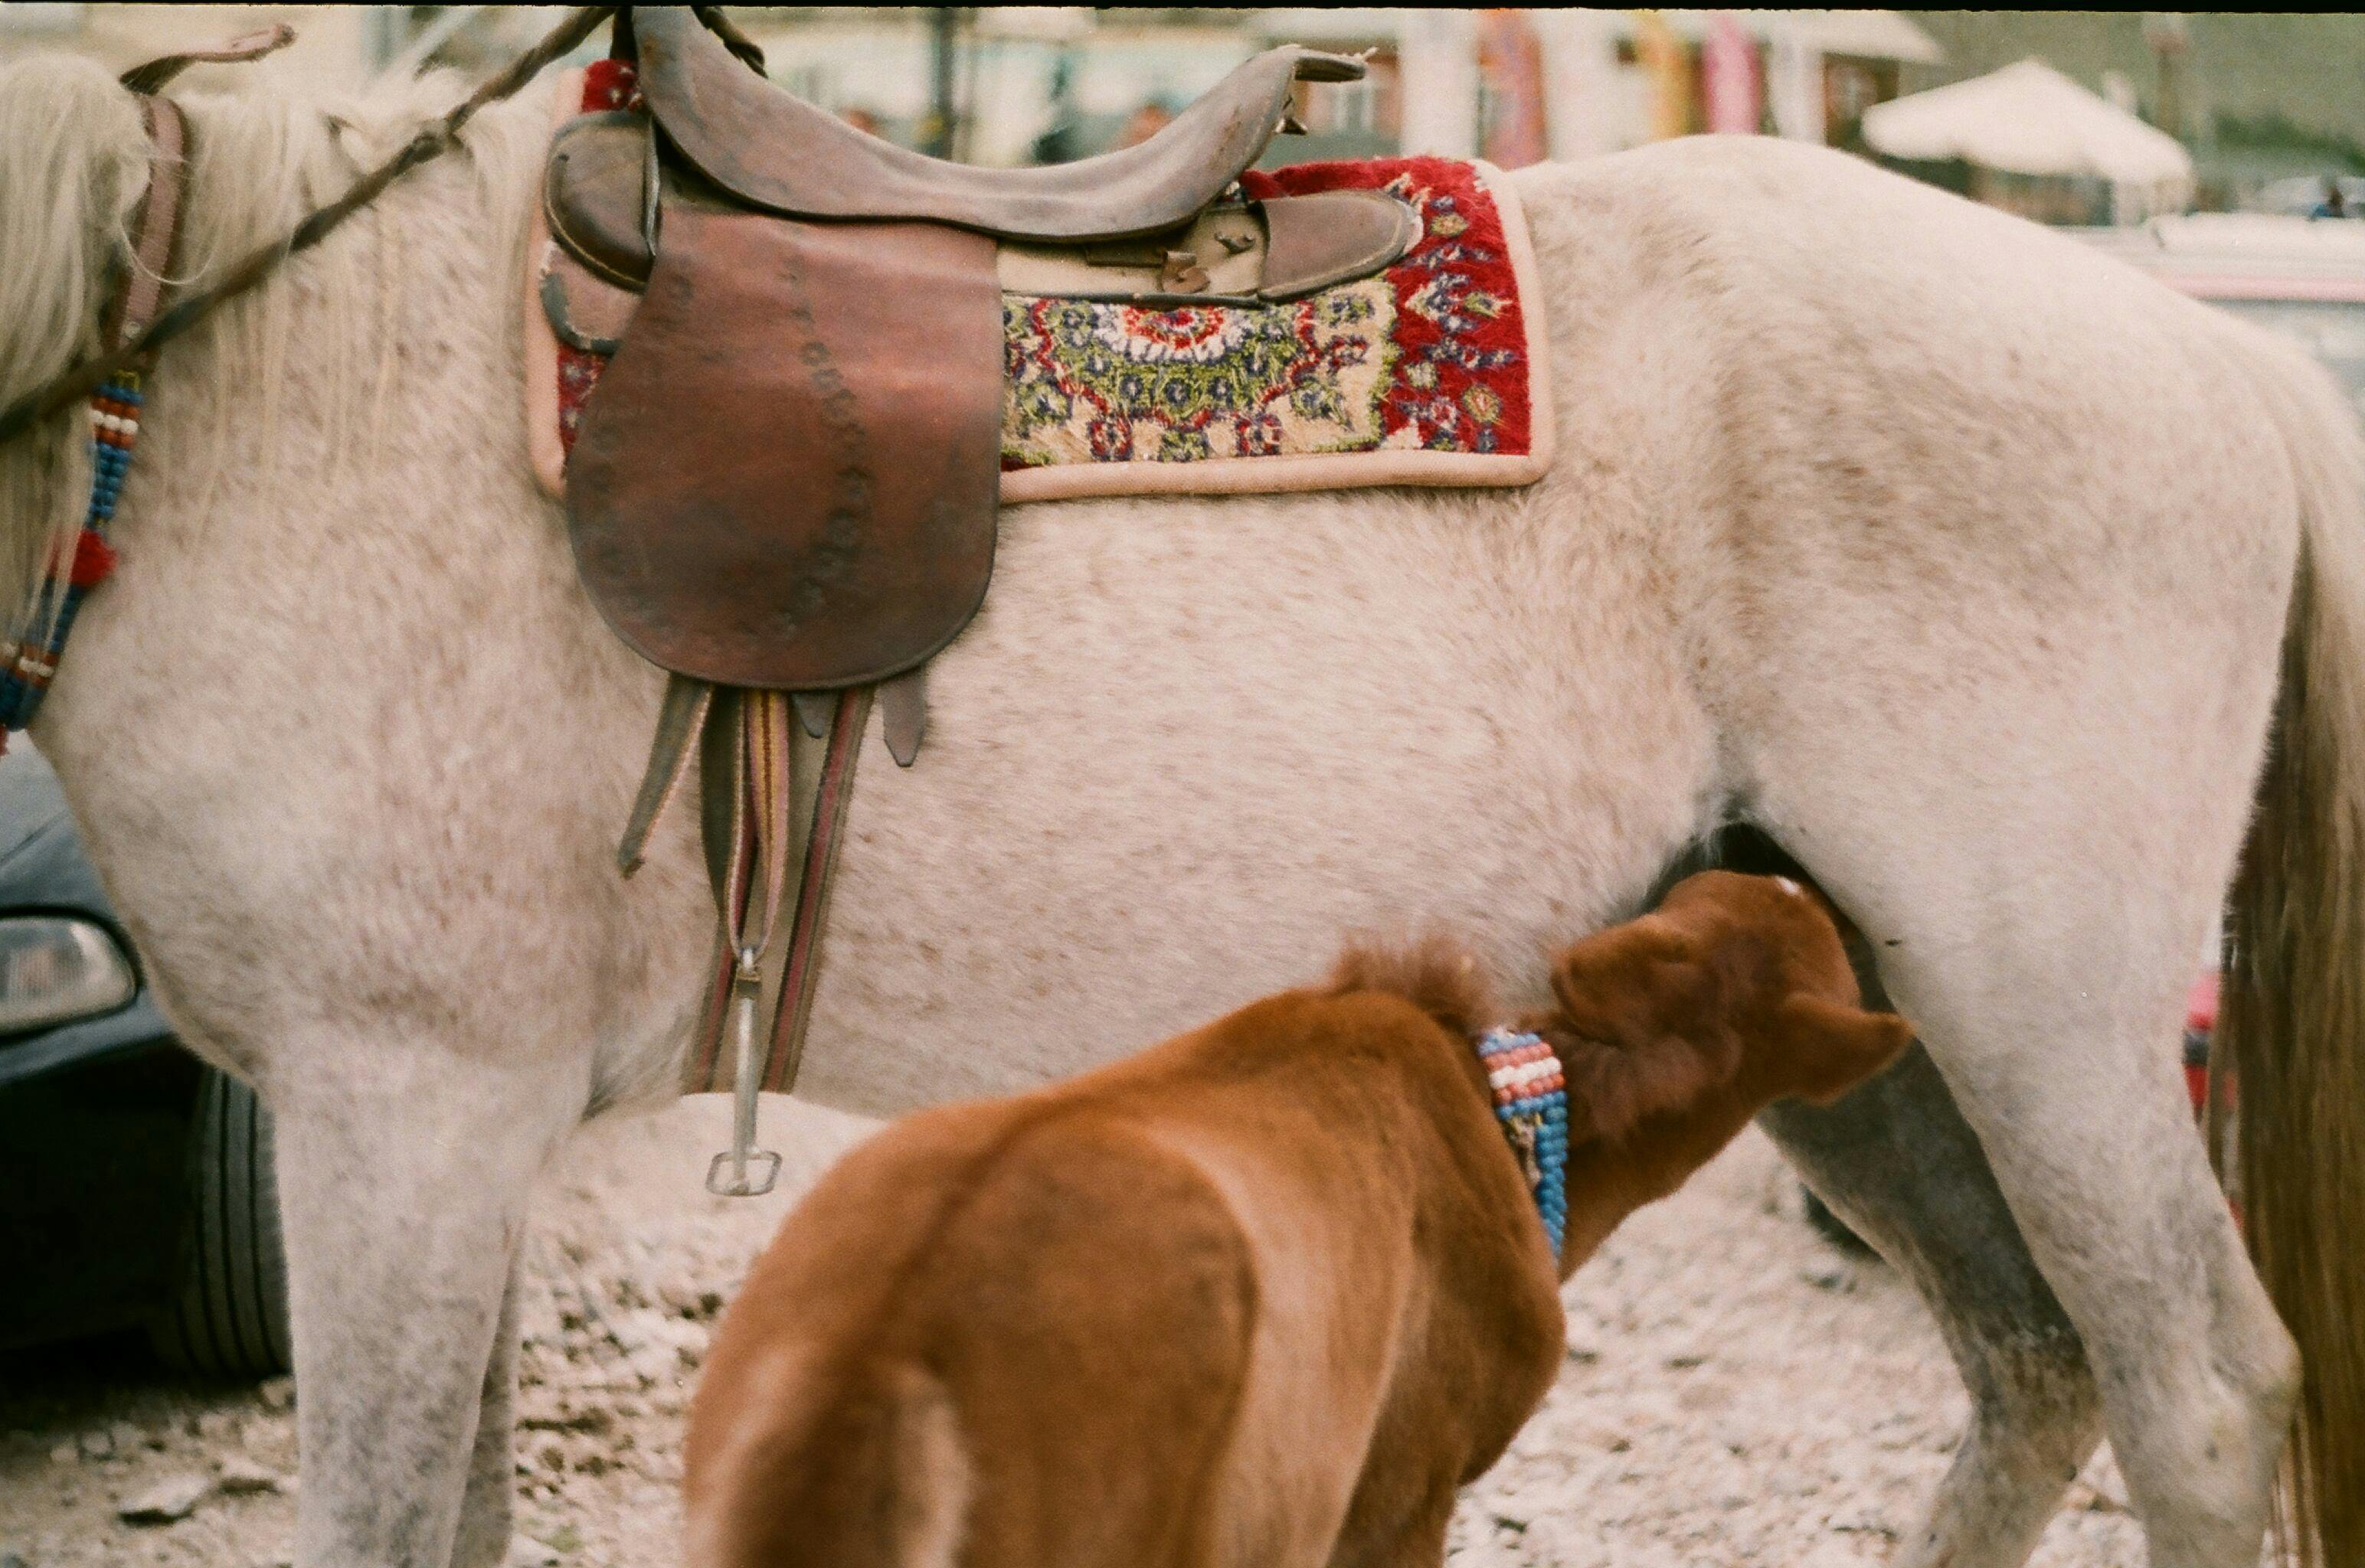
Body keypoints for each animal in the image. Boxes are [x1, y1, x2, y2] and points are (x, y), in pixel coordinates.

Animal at [4, 48, 2360, 1568]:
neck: (253, 380)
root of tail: (2226, 355)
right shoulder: (444, 1133)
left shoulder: (400, 1109)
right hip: (1867, 1027)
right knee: (2033, 1368)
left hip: (2042, 1010)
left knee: (2196, 1392)